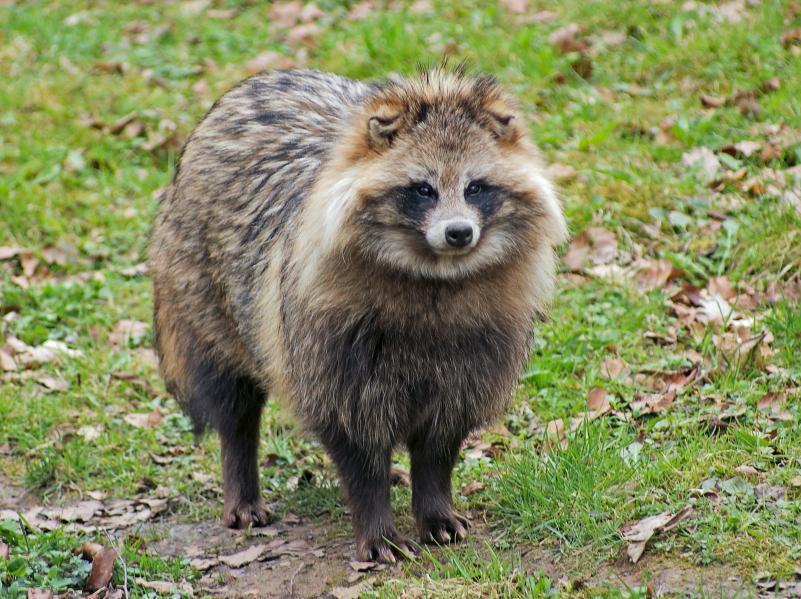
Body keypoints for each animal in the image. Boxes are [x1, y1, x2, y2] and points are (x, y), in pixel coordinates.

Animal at [150, 67, 567, 563]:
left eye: (475, 187)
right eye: (423, 189)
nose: (459, 233)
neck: (435, 275)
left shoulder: (478, 349)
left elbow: (440, 441)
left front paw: (434, 505)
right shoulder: (328, 342)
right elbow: (354, 439)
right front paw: (376, 522)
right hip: (202, 292)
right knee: (232, 401)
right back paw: (241, 476)